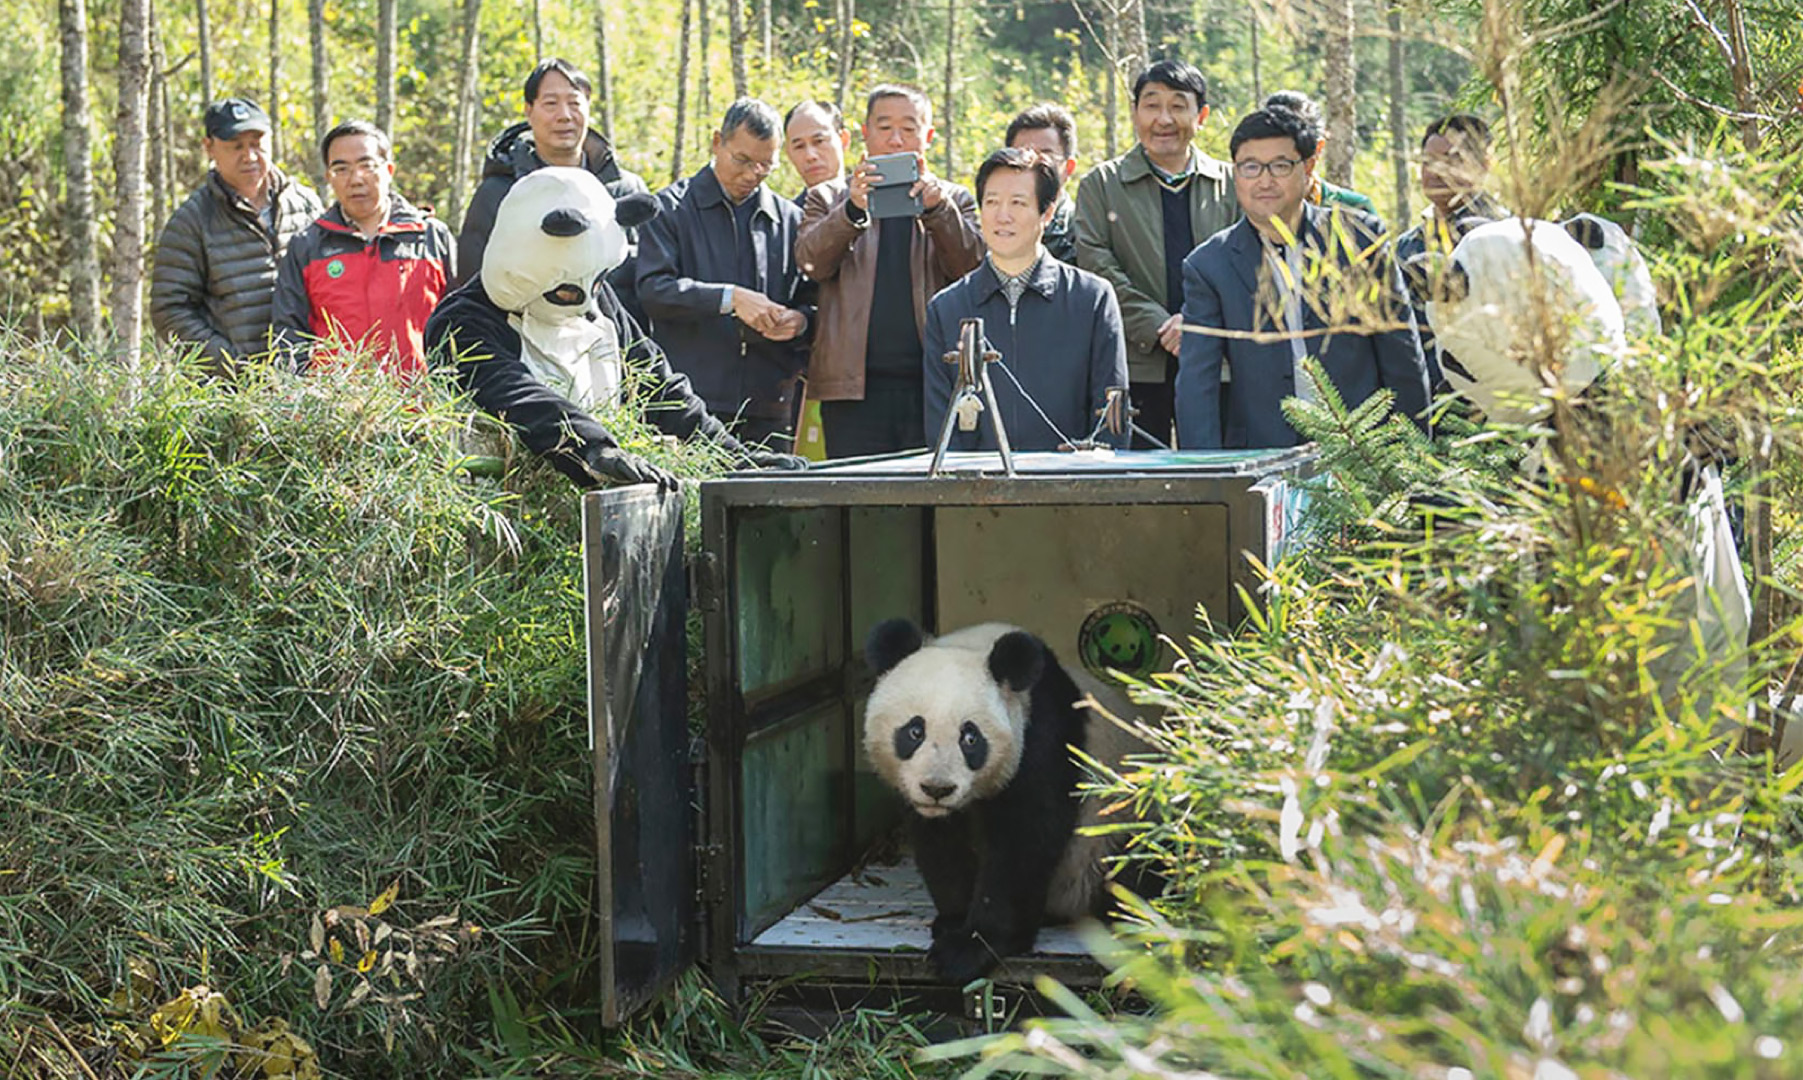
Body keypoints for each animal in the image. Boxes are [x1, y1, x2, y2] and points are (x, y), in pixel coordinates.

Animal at [863, 619, 1148, 983]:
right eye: (915, 731)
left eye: (970, 738)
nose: (937, 789)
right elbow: (940, 842)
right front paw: (953, 919)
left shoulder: (1044, 739)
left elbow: (1024, 842)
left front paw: (968, 950)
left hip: (1116, 835)